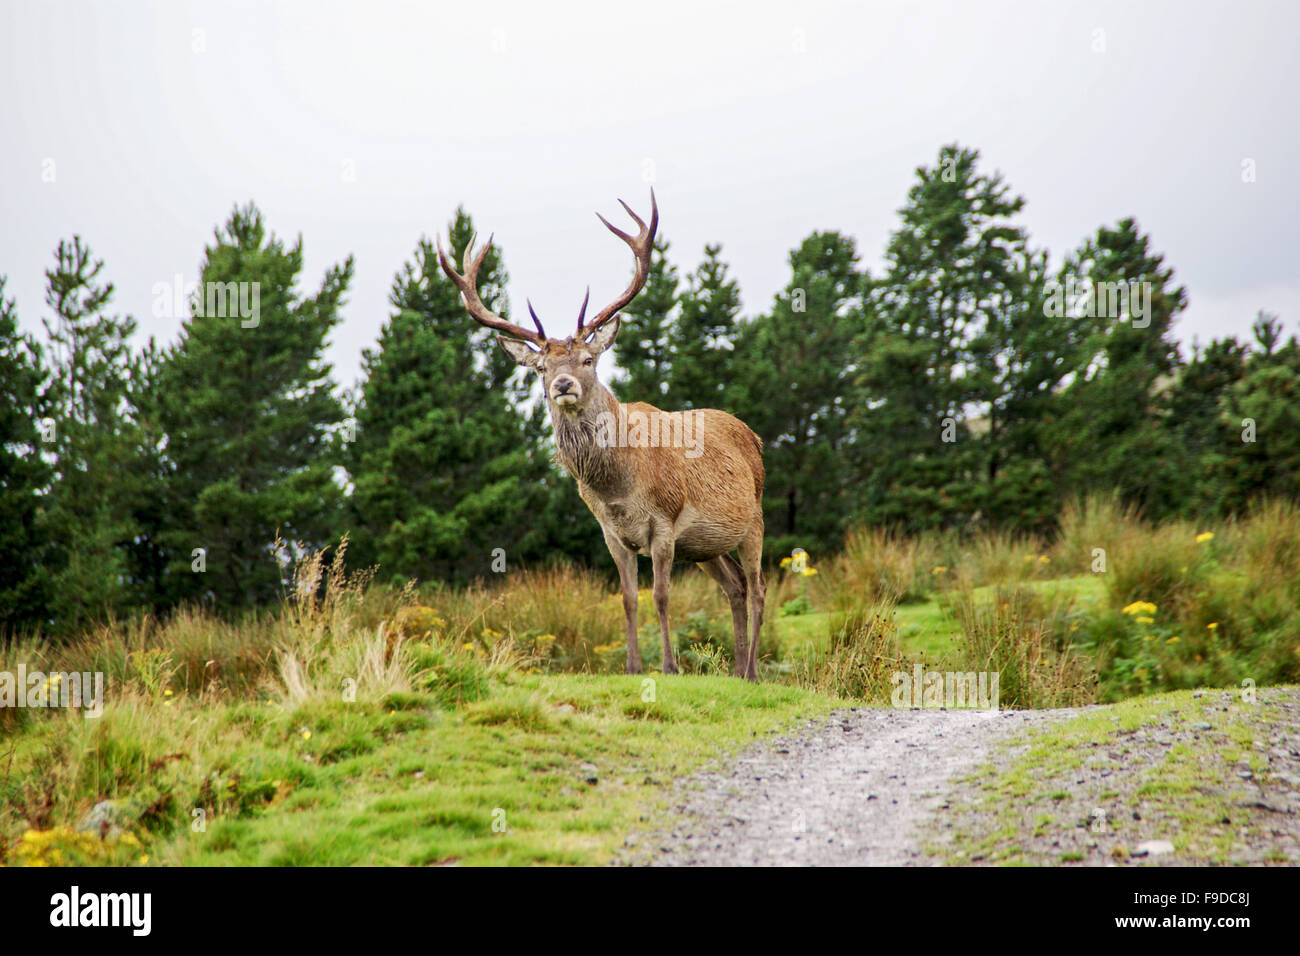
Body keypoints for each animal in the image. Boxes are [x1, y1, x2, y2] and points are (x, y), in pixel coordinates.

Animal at [436, 190, 767, 680]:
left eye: (588, 359)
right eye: (540, 367)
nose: (562, 384)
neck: (617, 485)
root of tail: (754, 437)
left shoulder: (665, 523)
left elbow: (661, 596)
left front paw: (669, 667)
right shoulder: (611, 532)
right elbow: (628, 598)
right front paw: (632, 667)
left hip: (754, 519)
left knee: (759, 587)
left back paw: (753, 671)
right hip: (708, 545)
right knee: (736, 587)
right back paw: (737, 671)